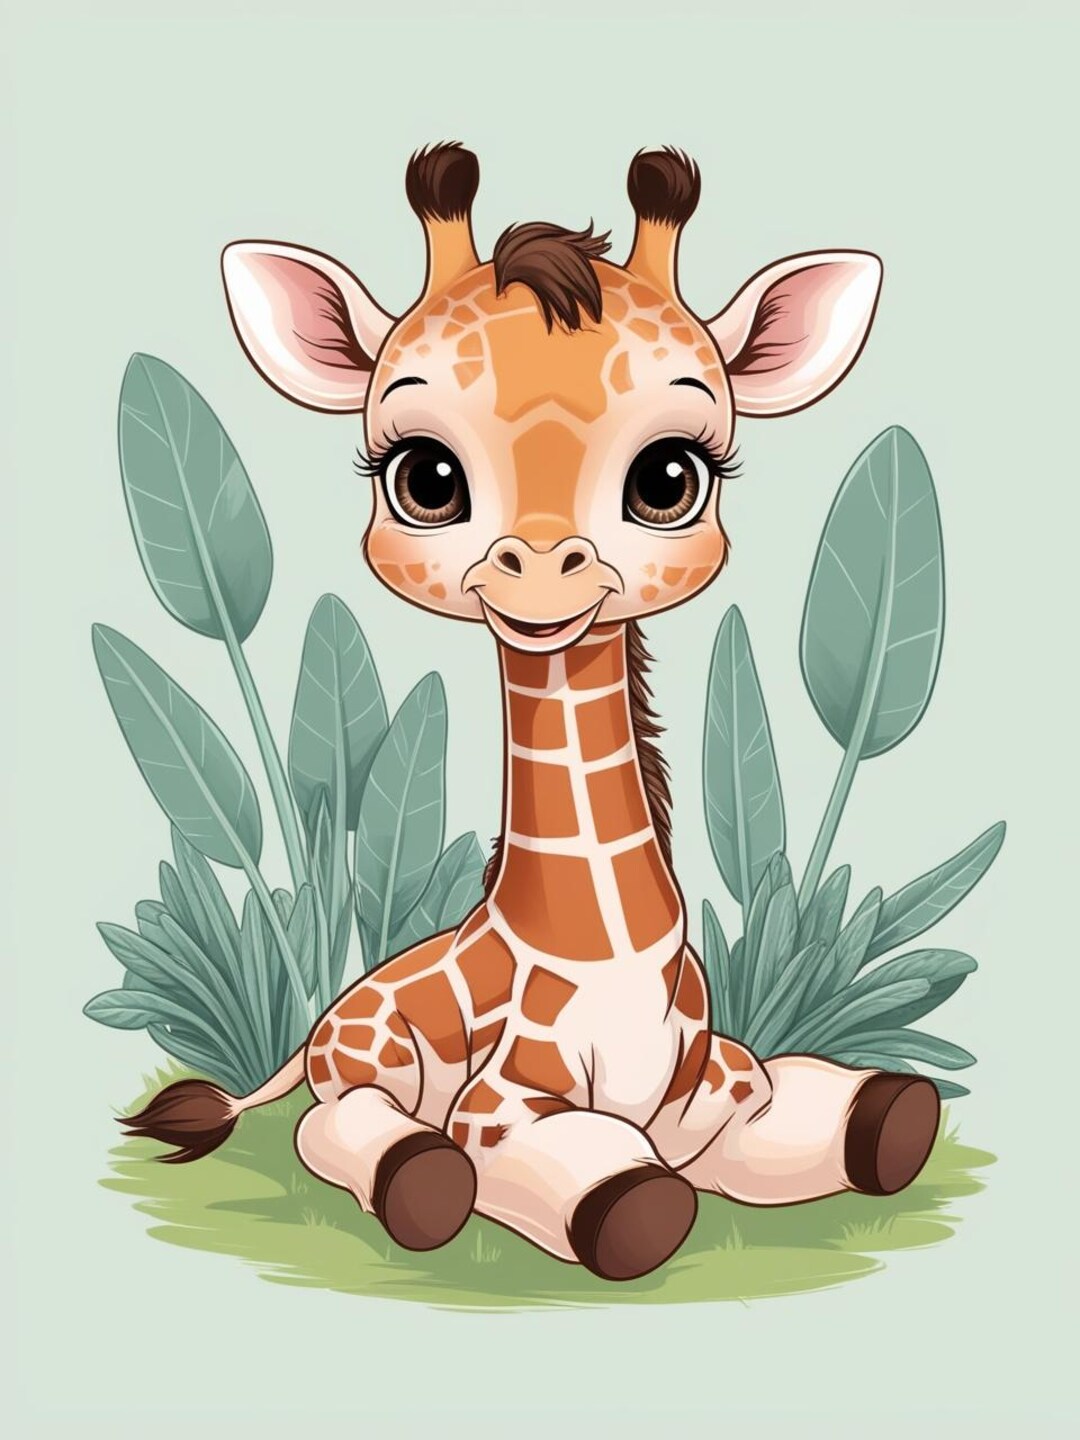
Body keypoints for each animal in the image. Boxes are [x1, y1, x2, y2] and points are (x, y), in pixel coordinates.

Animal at [125, 144, 940, 1280]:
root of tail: (320, 1019)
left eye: (670, 477)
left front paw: (887, 1112)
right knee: (338, 1130)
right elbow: (628, 1198)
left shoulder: (728, 1080)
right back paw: (413, 1181)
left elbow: (870, 1119)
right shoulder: (504, 1107)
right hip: (370, 1070)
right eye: (426, 477)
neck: (610, 960)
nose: (547, 572)